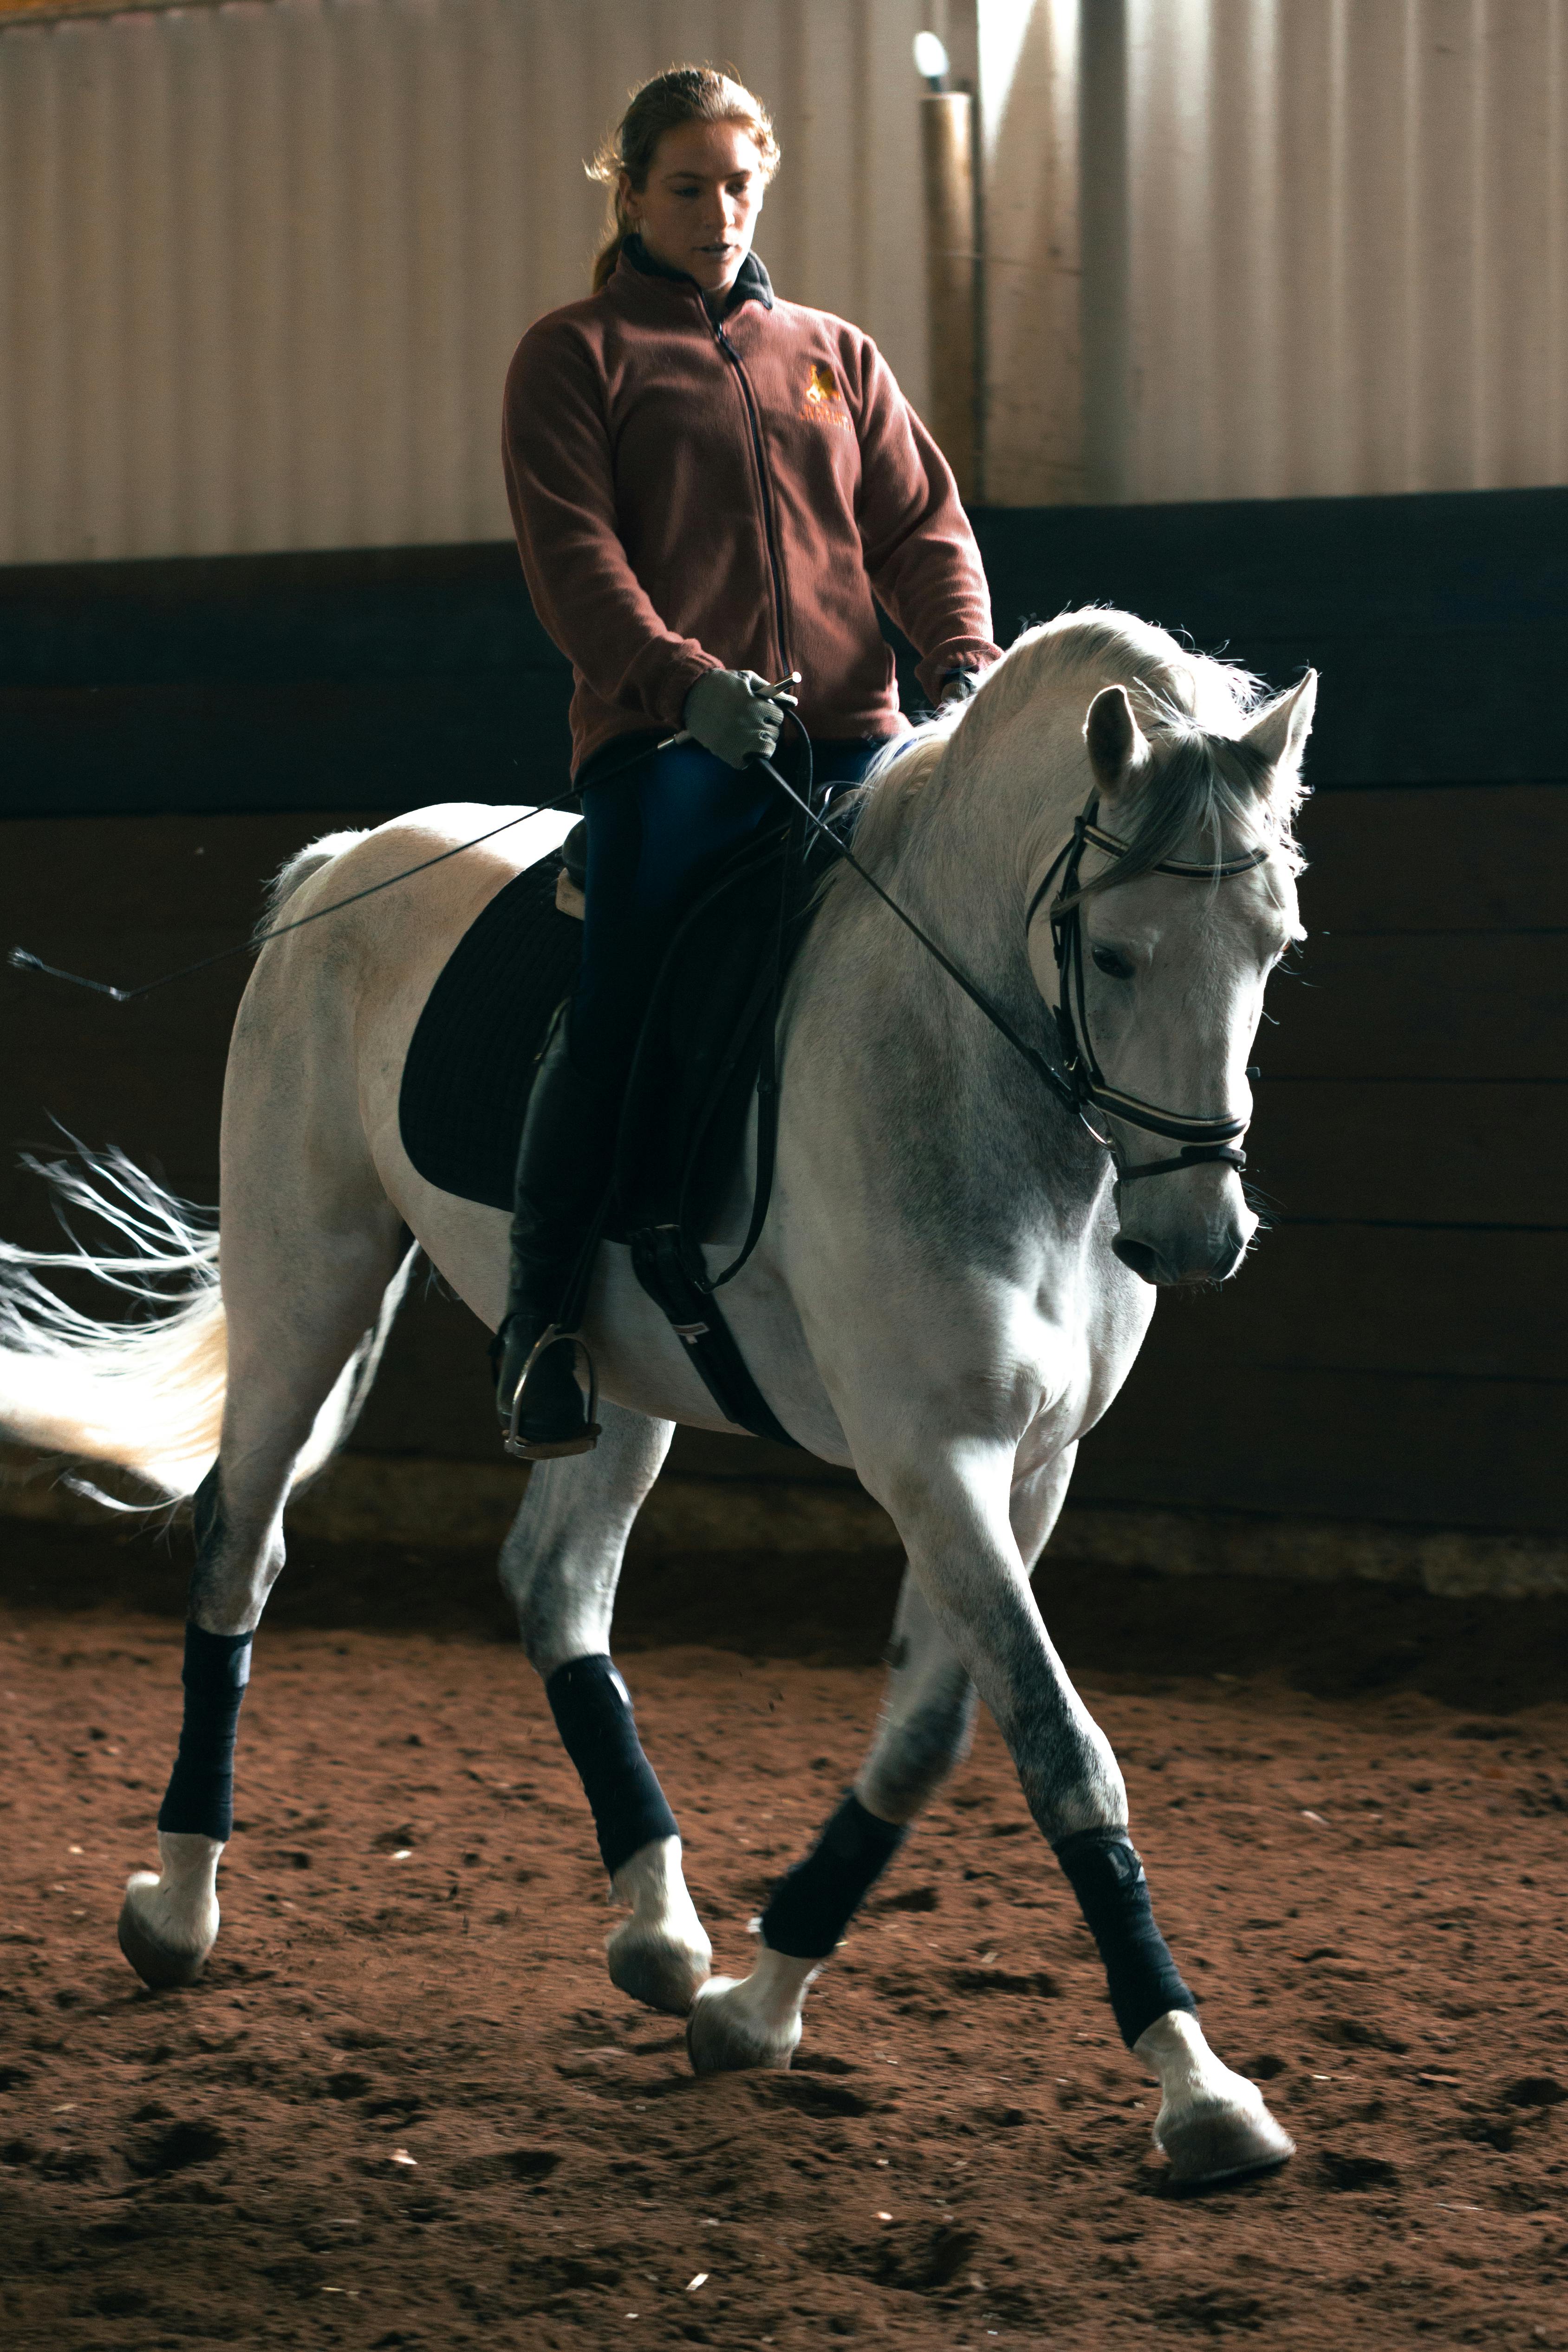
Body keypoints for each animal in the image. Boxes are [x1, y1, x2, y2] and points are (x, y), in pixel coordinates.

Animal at [0, 609, 1315, 2192]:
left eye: (1273, 947)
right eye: (1114, 954)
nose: (1196, 1236)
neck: (969, 1063)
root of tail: (346, 857)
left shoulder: (1028, 1463)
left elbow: (933, 1732)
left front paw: (757, 2002)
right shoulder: (930, 1452)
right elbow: (1063, 1749)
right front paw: (1198, 2087)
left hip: (610, 1371)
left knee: (557, 1583)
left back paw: (658, 1927)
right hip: (306, 1273)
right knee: (238, 1547)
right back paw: (179, 1907)